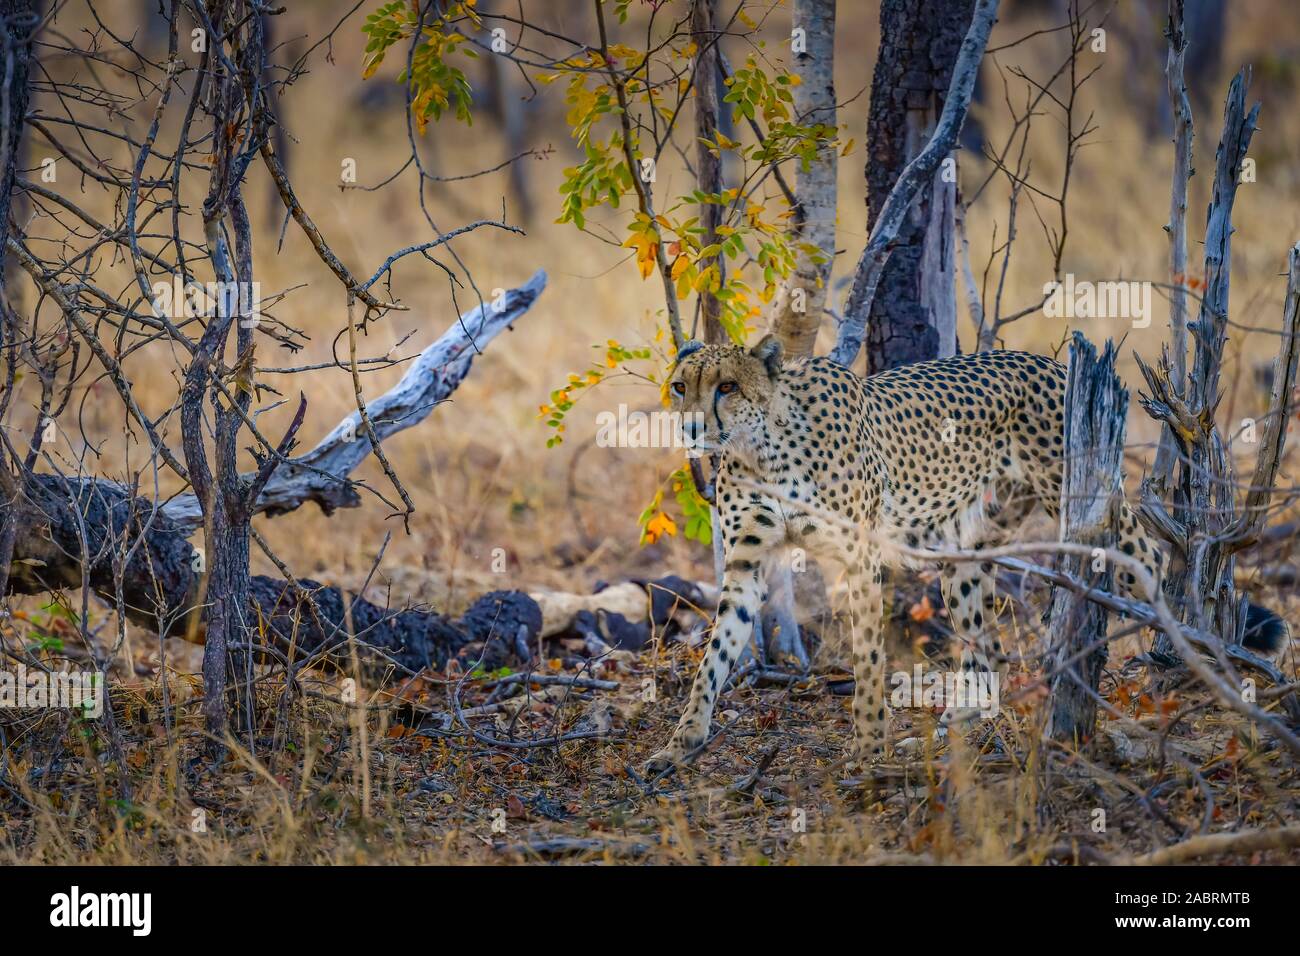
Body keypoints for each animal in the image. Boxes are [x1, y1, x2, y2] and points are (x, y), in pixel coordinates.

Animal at [645, 335, 1289, 773]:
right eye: (682, 386)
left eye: (727, 387)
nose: (692, 426)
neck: (762, 446)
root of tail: (1044, 360)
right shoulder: (747, 564)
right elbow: (715, 656)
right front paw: (681, 743)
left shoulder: (857, 557)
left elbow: (869, 658)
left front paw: (868, 745)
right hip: (964, 551)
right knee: (988, 650)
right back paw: (958, 720)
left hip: (1085, 501)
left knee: (1152, 563)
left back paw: (1187, 661)